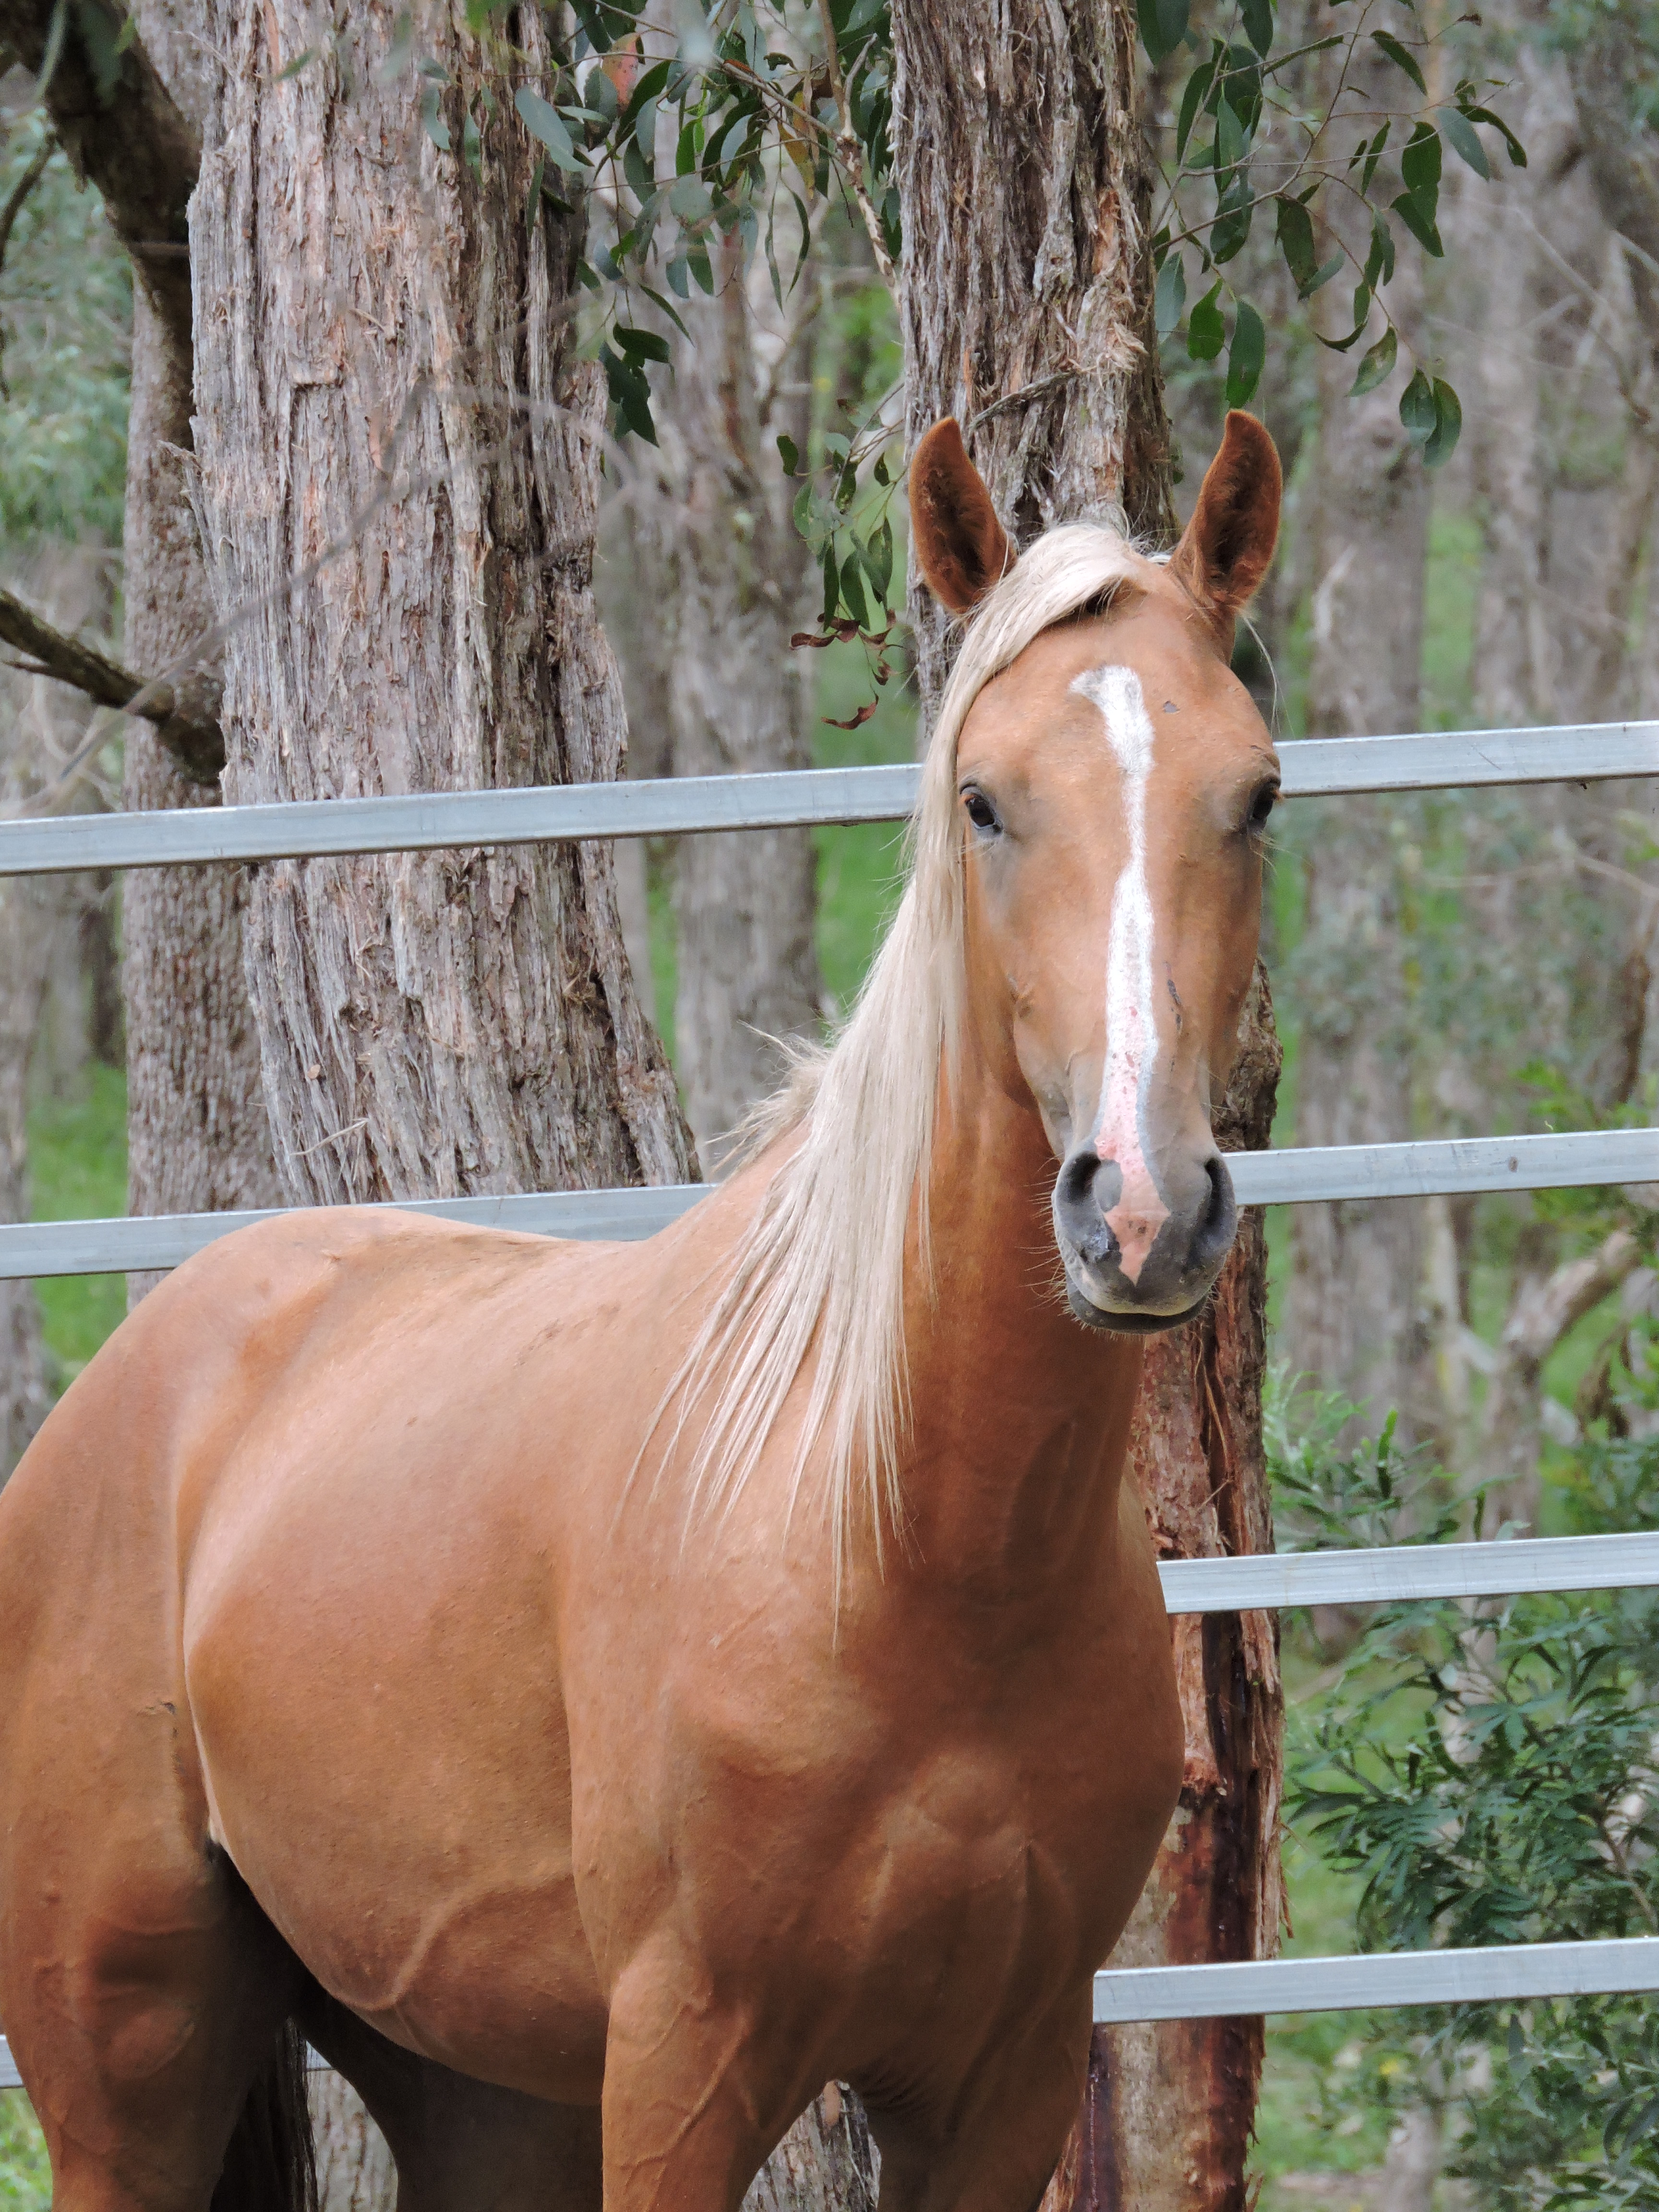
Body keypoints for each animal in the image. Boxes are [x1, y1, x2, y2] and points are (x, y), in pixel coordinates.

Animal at [0, 410, 1281, 2212]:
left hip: (474, 2087)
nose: (1143, 1207)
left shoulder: (1002, 2083)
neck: (899, 1535)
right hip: (129, 2078)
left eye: (1256, 795)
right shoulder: (686, 2063)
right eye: (983, 800)